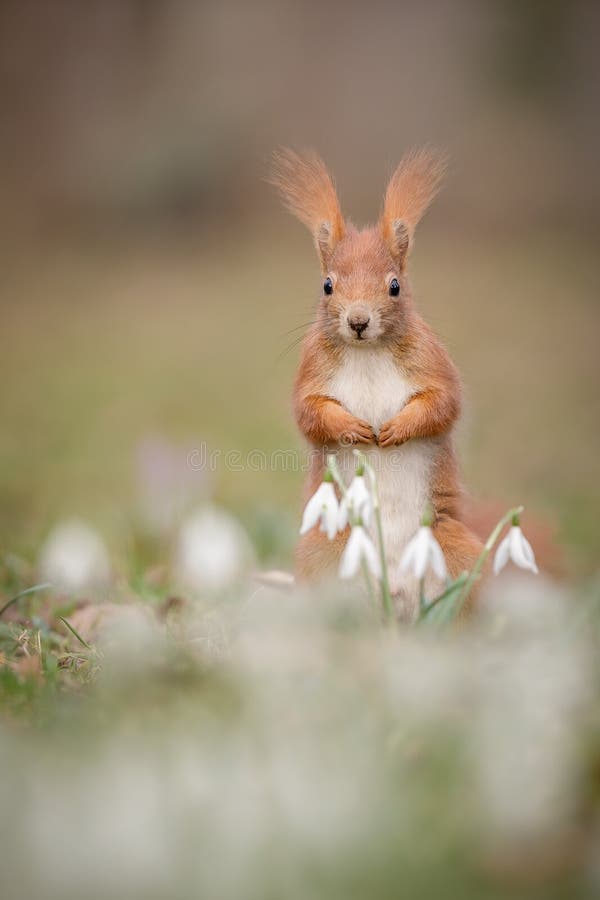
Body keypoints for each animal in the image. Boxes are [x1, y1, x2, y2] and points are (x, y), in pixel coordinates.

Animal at [270, 148, 484, 620]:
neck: (366, 353)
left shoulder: (431, 363)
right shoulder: (311, 373)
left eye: (395, 286)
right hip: (322, 552)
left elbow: (443, 403)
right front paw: (353, 428)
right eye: (327, 285)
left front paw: (395, 429)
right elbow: (310, 413)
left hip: (458, 554)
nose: (358, 321)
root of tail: (397, 593)